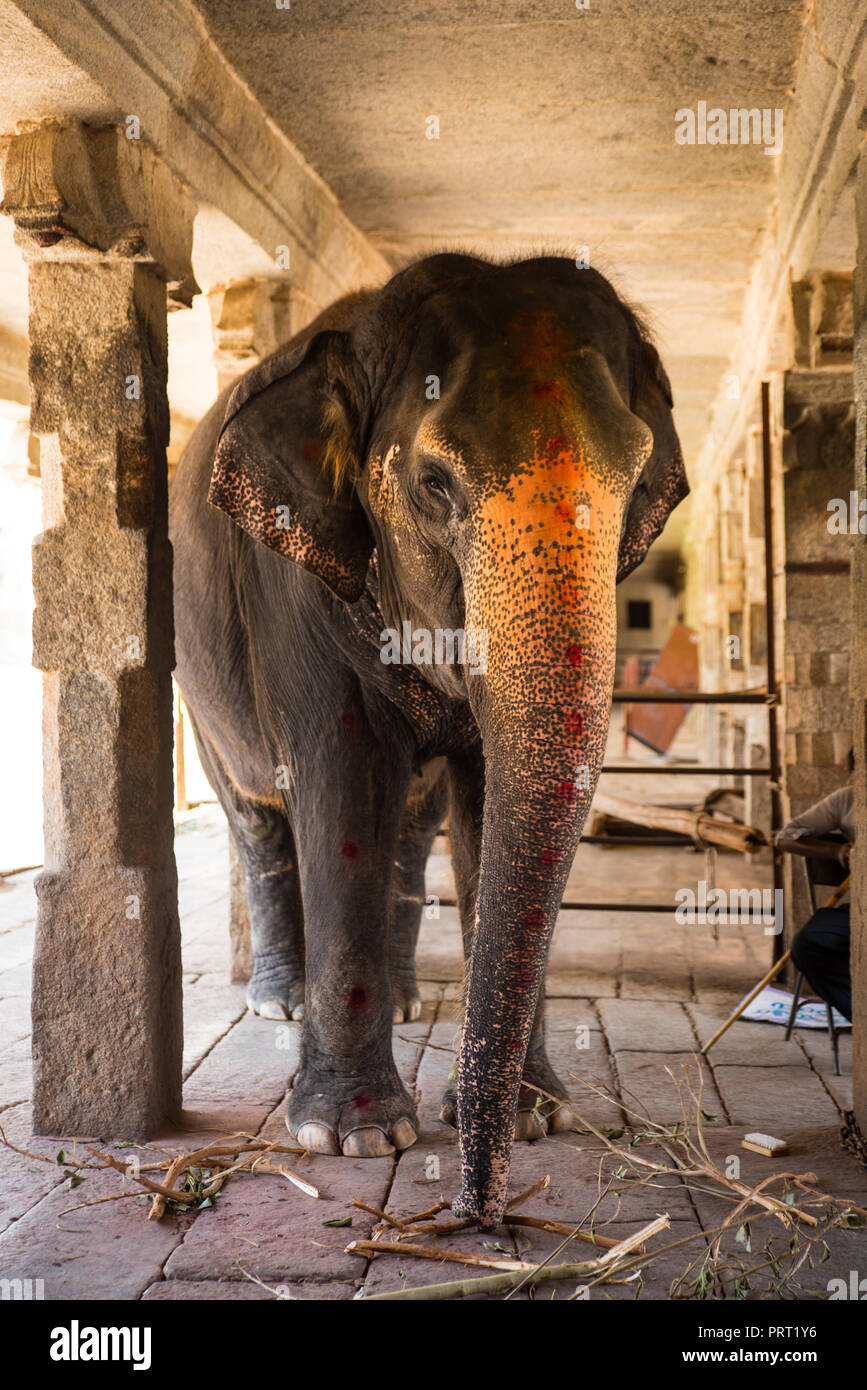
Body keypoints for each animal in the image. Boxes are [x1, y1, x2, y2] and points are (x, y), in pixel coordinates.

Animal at [169, 252, 687, 1227]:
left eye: (639, 479)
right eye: (434, 486)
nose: (479, 1211)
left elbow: (484, 801)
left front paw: (531, 1118)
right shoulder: (292, 583)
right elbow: (339, 781)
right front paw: (351, 1137)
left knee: (411, 827)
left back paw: (410, 1003)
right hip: (197, 684)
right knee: (256, 817)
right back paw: (280, 1003)